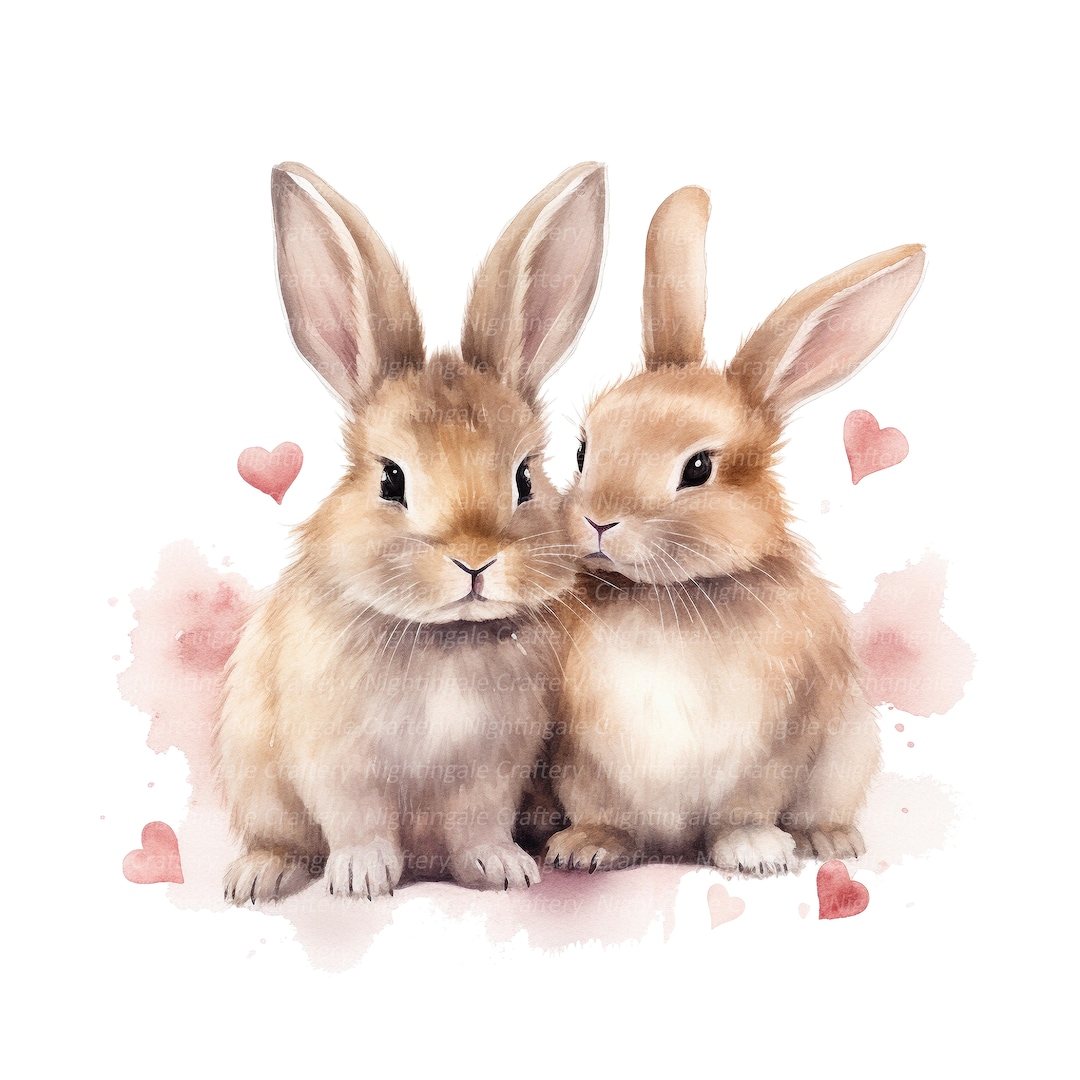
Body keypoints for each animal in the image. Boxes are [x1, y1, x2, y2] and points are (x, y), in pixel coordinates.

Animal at [215, 160, 606, 903]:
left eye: (525, 478)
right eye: (391, 479)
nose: (474, 560)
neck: (443, 640)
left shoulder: (493, 767)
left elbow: (477, 821)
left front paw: (502, 869)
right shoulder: (335, 759)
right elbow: (358, 821)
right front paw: (362, 880)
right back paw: (256, 876)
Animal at [544, 185, 924, 877]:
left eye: (698, 468)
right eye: (584, 450)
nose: (599, 520)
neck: (669, 595)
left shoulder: (776, 742)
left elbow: (747, 804)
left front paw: (753, 851)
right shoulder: (579, 754)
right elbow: (599, 804)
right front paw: (587, 847)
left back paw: (830, 841)